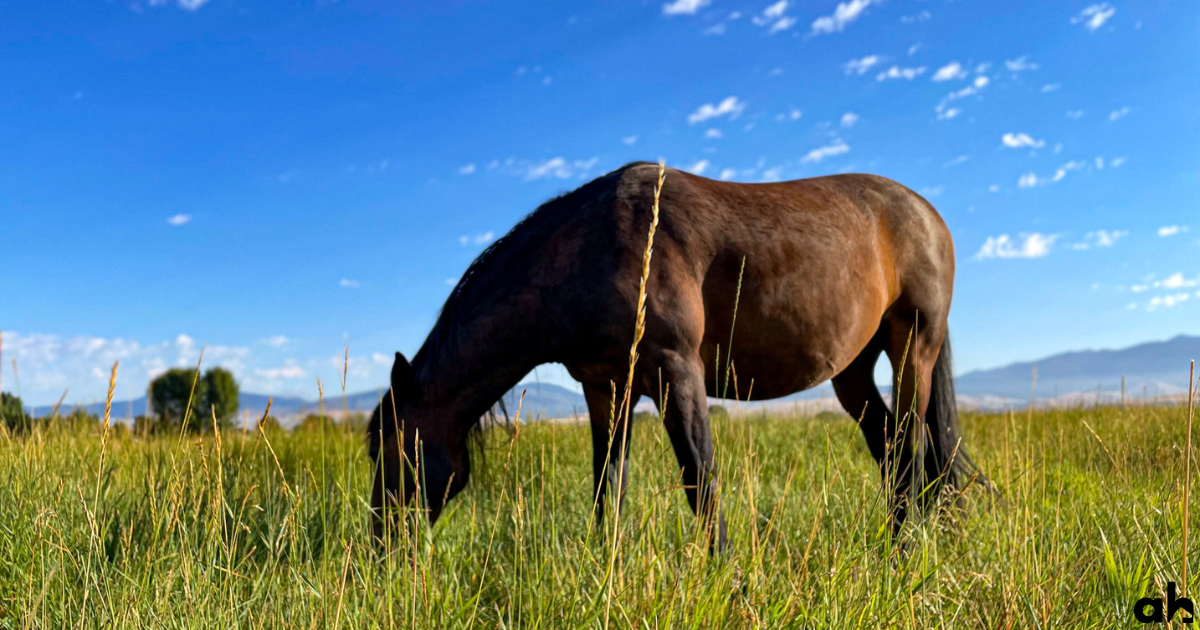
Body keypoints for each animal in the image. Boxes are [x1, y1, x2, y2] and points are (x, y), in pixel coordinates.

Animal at [368, 162, 983, 549]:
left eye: (390, 450)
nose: (379, 548)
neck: (591, 246)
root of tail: (927, 214)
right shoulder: (607, 387)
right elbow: (608, 485)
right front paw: (606, 566)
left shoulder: (676, 372)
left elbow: (700, 481)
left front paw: (728, 576)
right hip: (853, 369)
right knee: (892, 450)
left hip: (913, 345)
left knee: (912, 447)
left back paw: (906, 553)